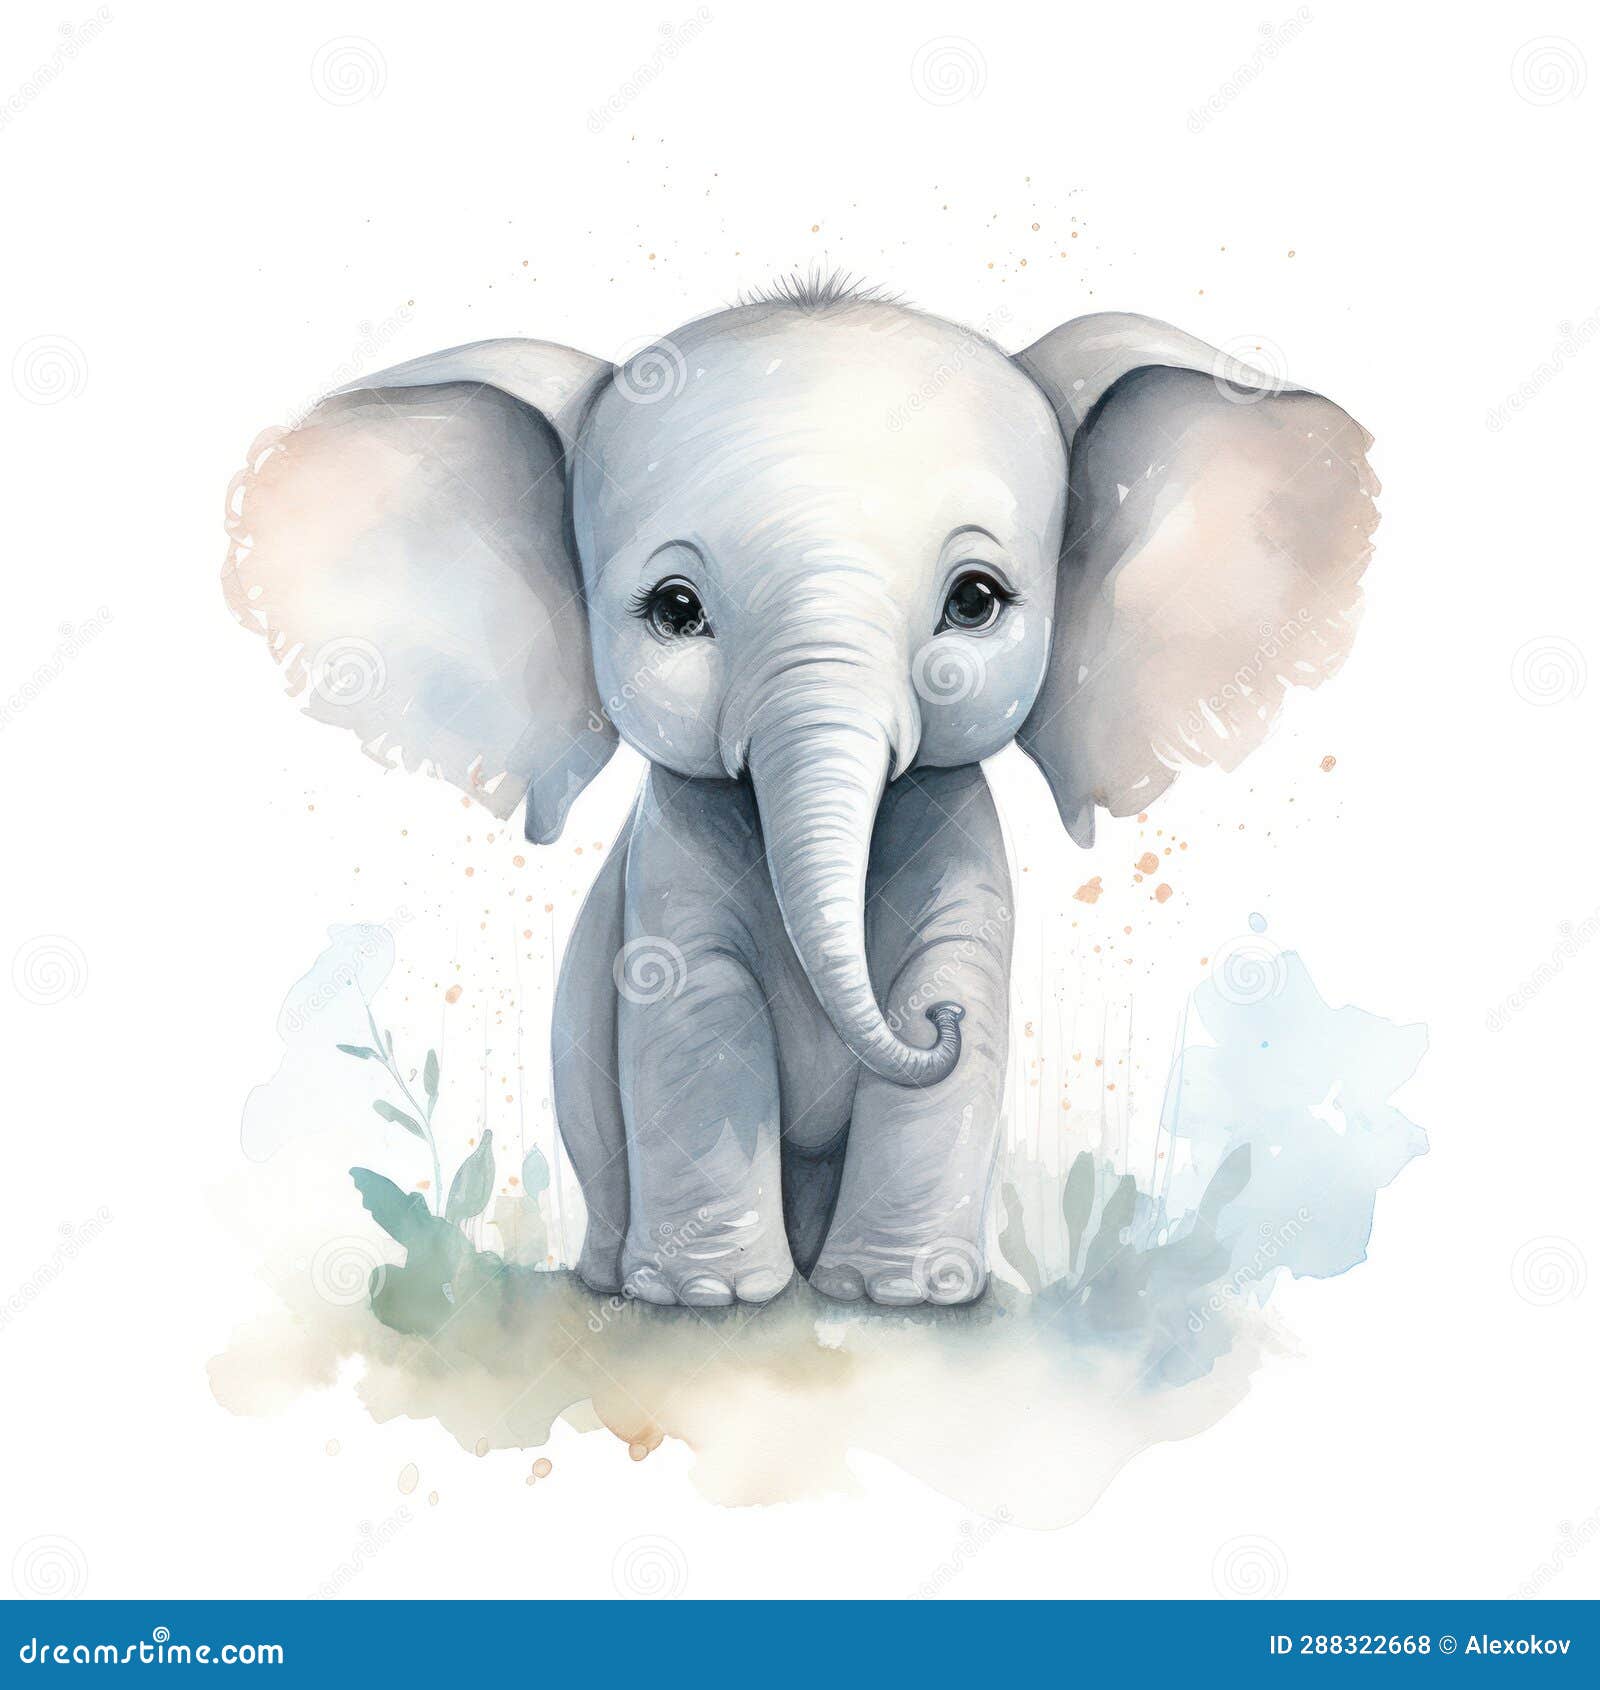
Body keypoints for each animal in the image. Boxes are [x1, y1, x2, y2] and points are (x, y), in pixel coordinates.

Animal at [222, 275, 1378, 1309]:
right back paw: (616, 1279)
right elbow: (695, 1011)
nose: (932, 1026)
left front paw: (903, 1293)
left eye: (975, 600)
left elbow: (962, 984)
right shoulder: (670, 863)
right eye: (674, 610)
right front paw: (709, 1298)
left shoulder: (960, 840)